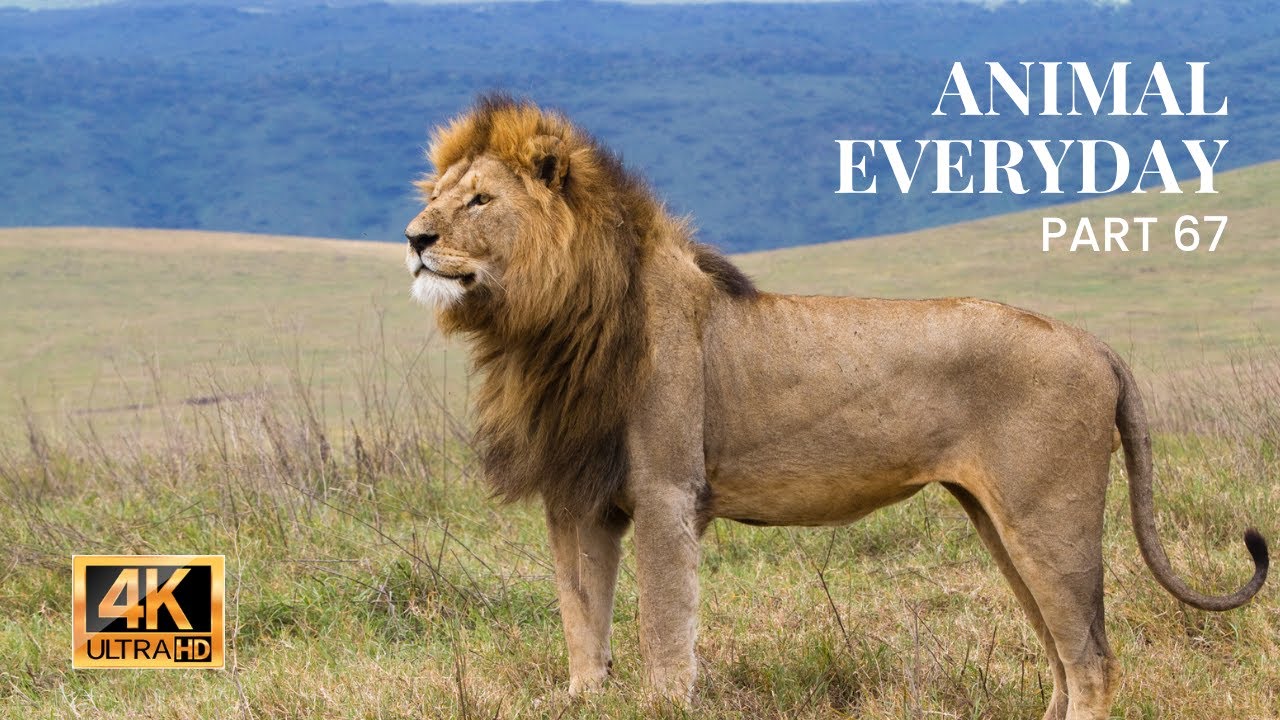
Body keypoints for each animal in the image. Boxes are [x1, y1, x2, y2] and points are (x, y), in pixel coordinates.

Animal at [403, 95, 1268, 720]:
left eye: (478, 201)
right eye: (436, 197)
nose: (413, 238)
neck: (544, 326)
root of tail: (1093, 342)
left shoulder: (666, 490)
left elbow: (663, 626)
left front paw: (660, 703)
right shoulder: (576, 494)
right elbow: (582, 619)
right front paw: (583, 699)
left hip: (1047, 514)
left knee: (1091, 664)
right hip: (1001, 521)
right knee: (1063, 658)